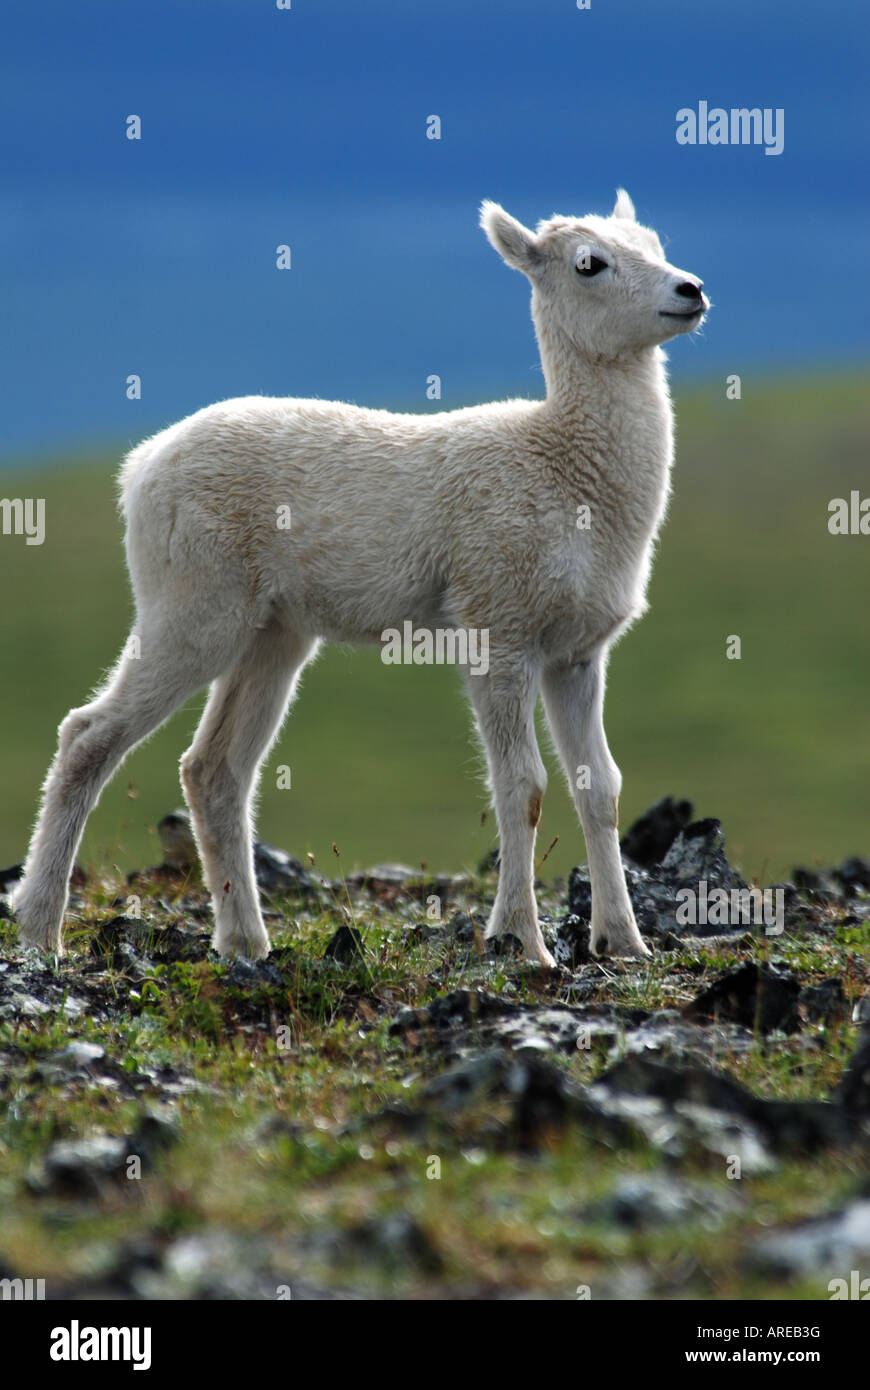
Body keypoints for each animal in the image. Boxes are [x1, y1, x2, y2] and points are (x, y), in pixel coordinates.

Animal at [11, 189, 707, 967]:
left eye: (653, 242)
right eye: (591, 263)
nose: (691, 290)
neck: (565, 469)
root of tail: (139, 470)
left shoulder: (577, 656)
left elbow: (601, 789)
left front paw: (625, 944)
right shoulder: (498, 636)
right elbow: (522, 787)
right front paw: (522, 943)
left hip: (274, 638)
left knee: (213, 769)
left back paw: (247, 943)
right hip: (193, 614)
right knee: (88, 734)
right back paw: (40, 929)